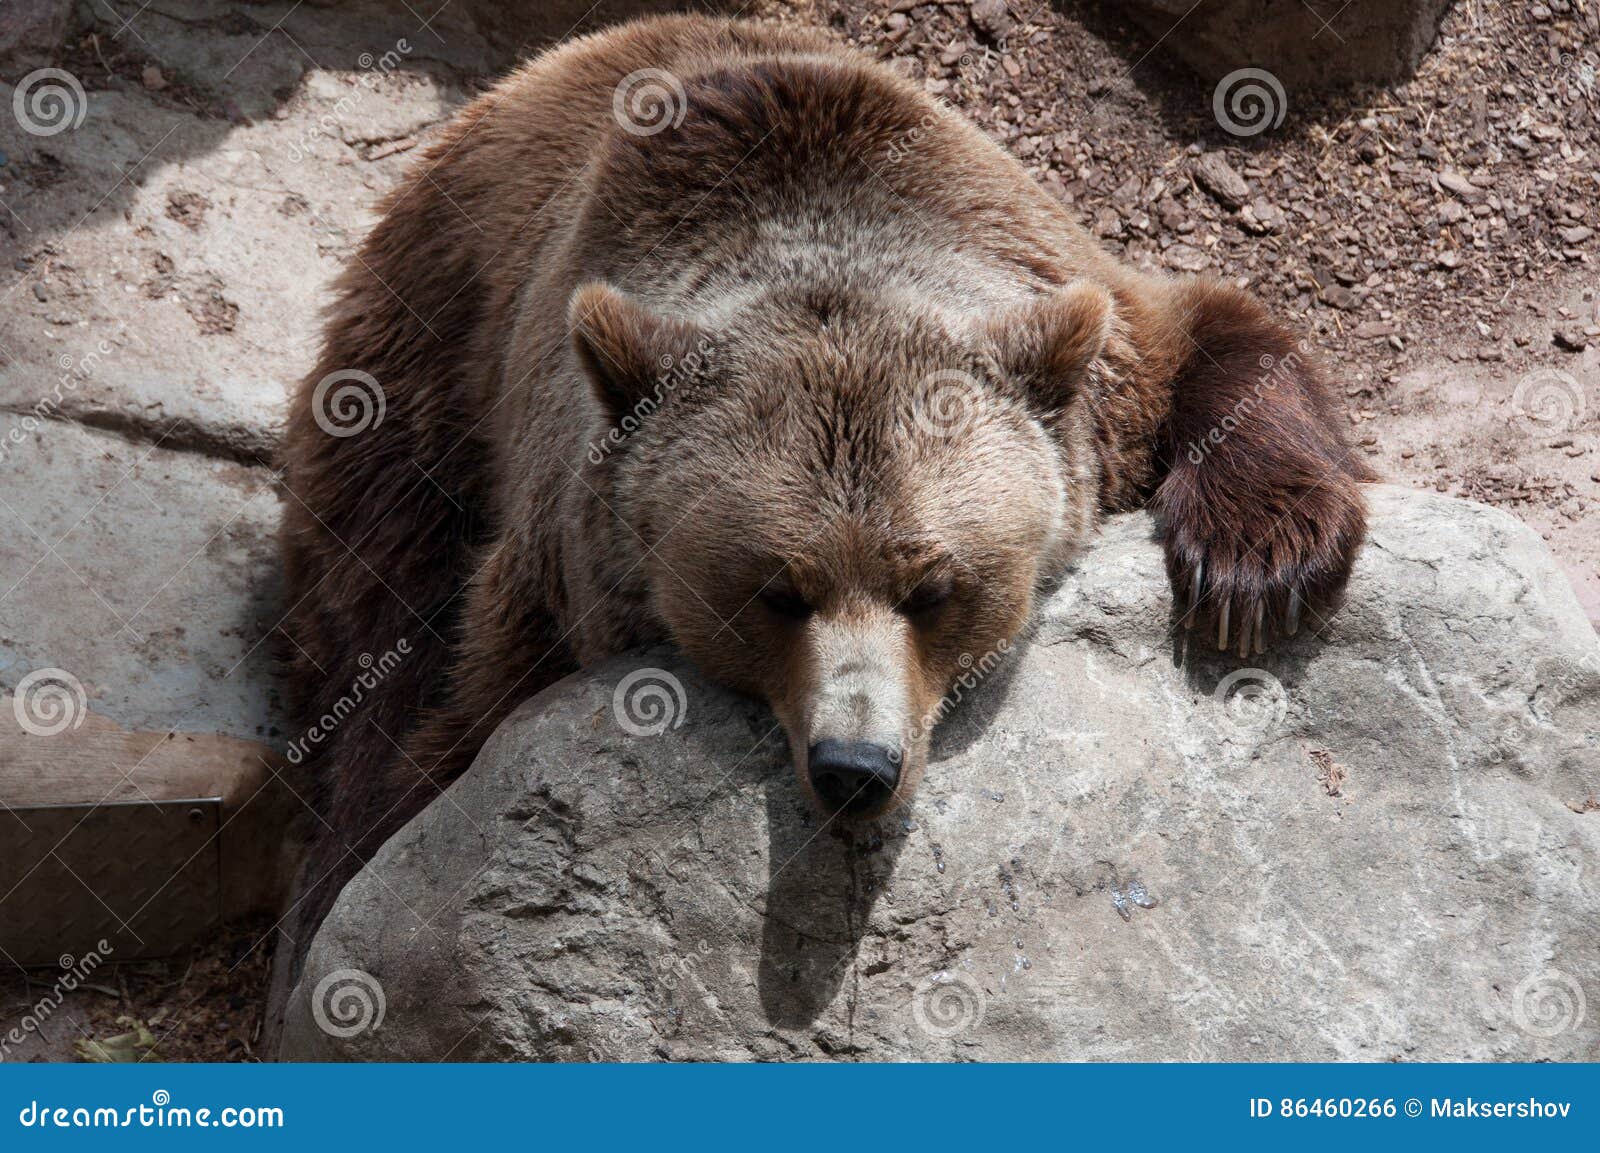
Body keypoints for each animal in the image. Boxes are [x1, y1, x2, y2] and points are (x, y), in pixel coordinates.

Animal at [278, 14, 1370, 954]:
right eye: (774, 592)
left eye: (934, 588)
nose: (855, 769)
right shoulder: (554, 569)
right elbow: (443, 728)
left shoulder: (1083, 334)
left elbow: (1211, 338)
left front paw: (1256, 569)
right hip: (425, 355)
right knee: (384, 589)